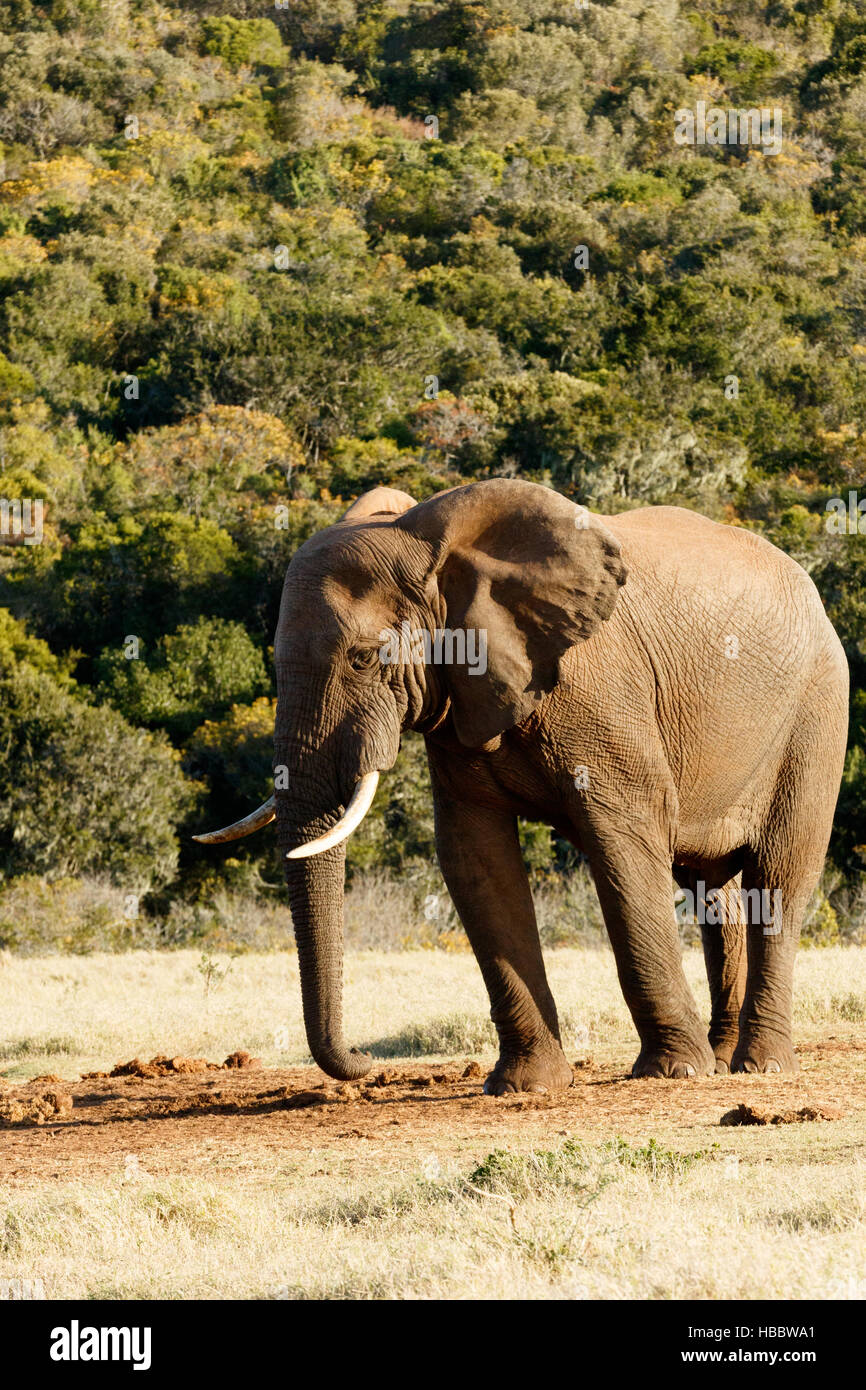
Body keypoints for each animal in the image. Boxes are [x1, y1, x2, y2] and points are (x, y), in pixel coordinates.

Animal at [195, 479, 848, 1094]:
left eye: (362, 658)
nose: (364, 1060)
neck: (431, 546)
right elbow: (475, 857)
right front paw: (523, 1085)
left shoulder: (604, 695)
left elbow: (623, 846)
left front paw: (672, 1072)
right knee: (715, 892)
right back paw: (726, 1057)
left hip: (817, 712)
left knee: (780, 876)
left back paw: (761, 1067)